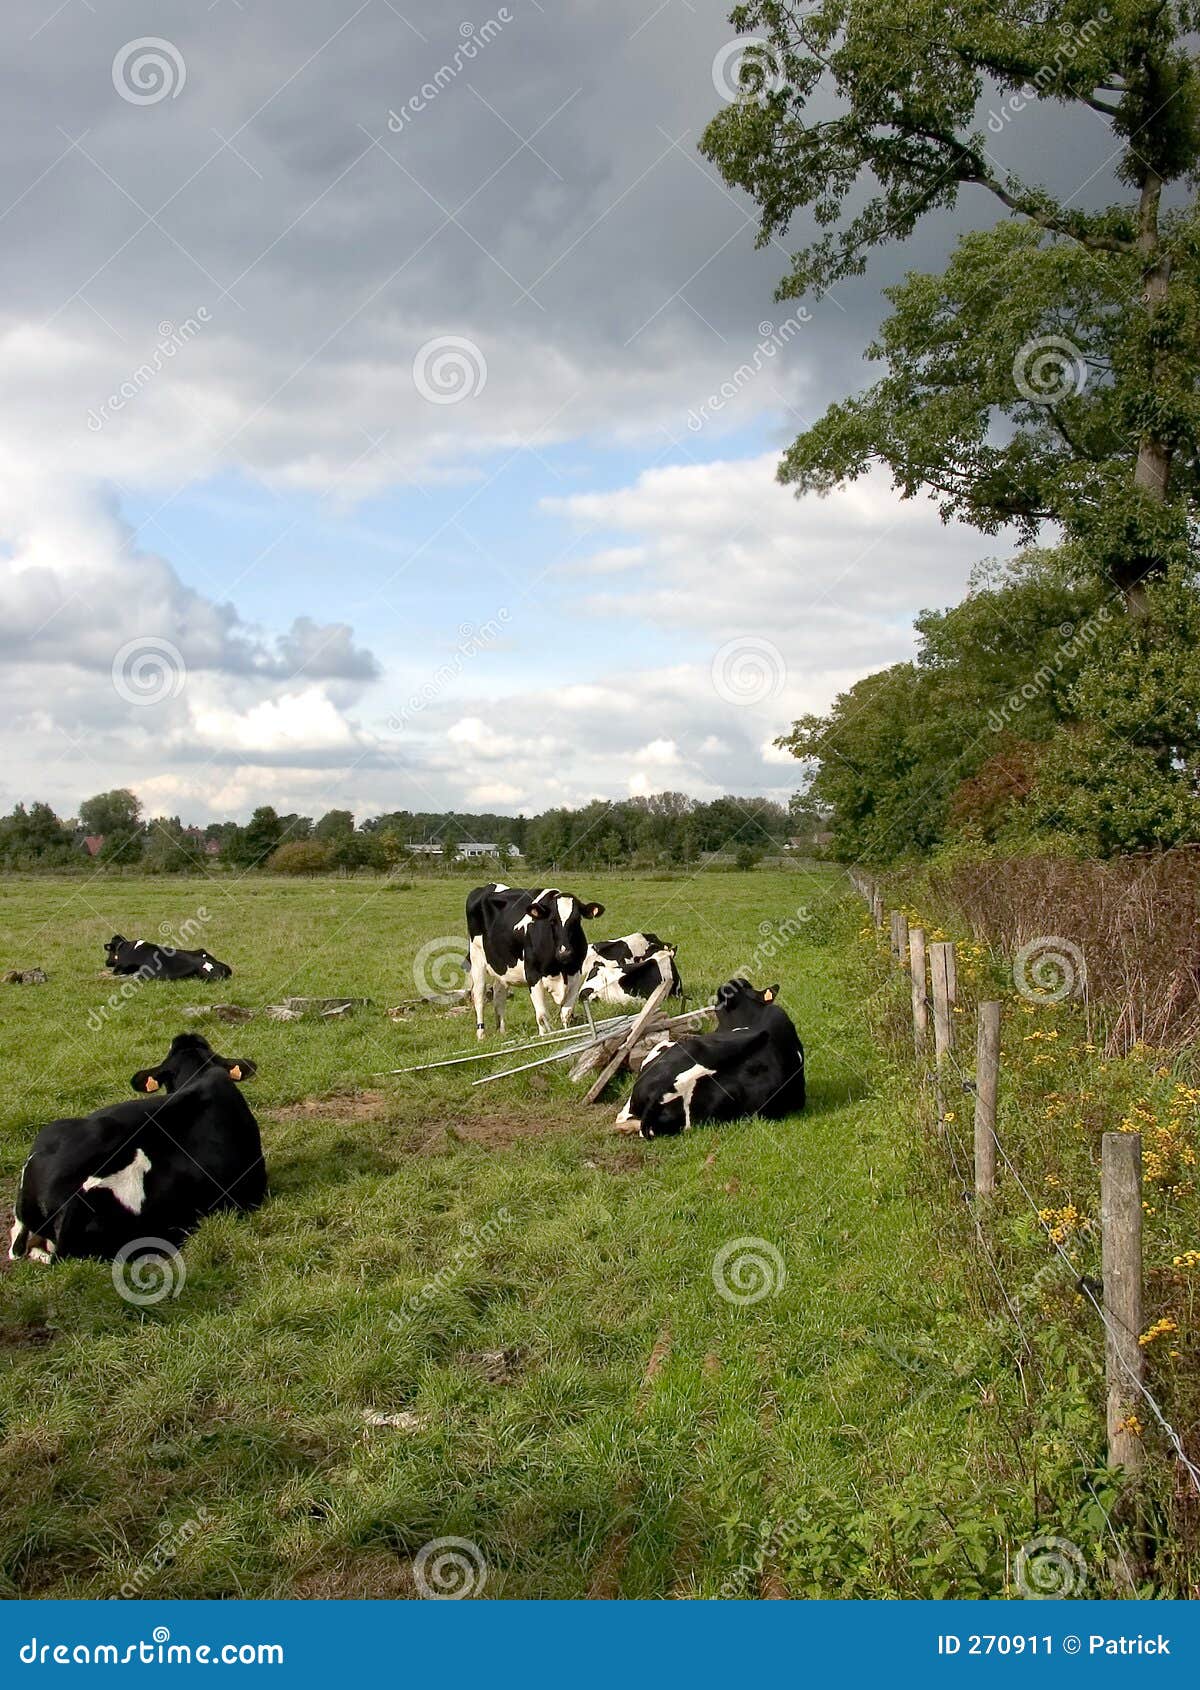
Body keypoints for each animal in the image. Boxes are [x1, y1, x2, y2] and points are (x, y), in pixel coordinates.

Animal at [466, 883, 605, 1039]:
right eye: (552, 921)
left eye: (577, 920)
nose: (565, 952)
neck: (560, 968)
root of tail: (486, 886)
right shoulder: (532, 975)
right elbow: (542, 1014)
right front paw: (545, 1036)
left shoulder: (576, 973)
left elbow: (566, 1012)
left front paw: (566, 1032)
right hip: (476, 957)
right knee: (478, 995)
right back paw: (481, 1035)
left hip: (501, 966)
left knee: (499, 994)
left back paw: (502, 1031)